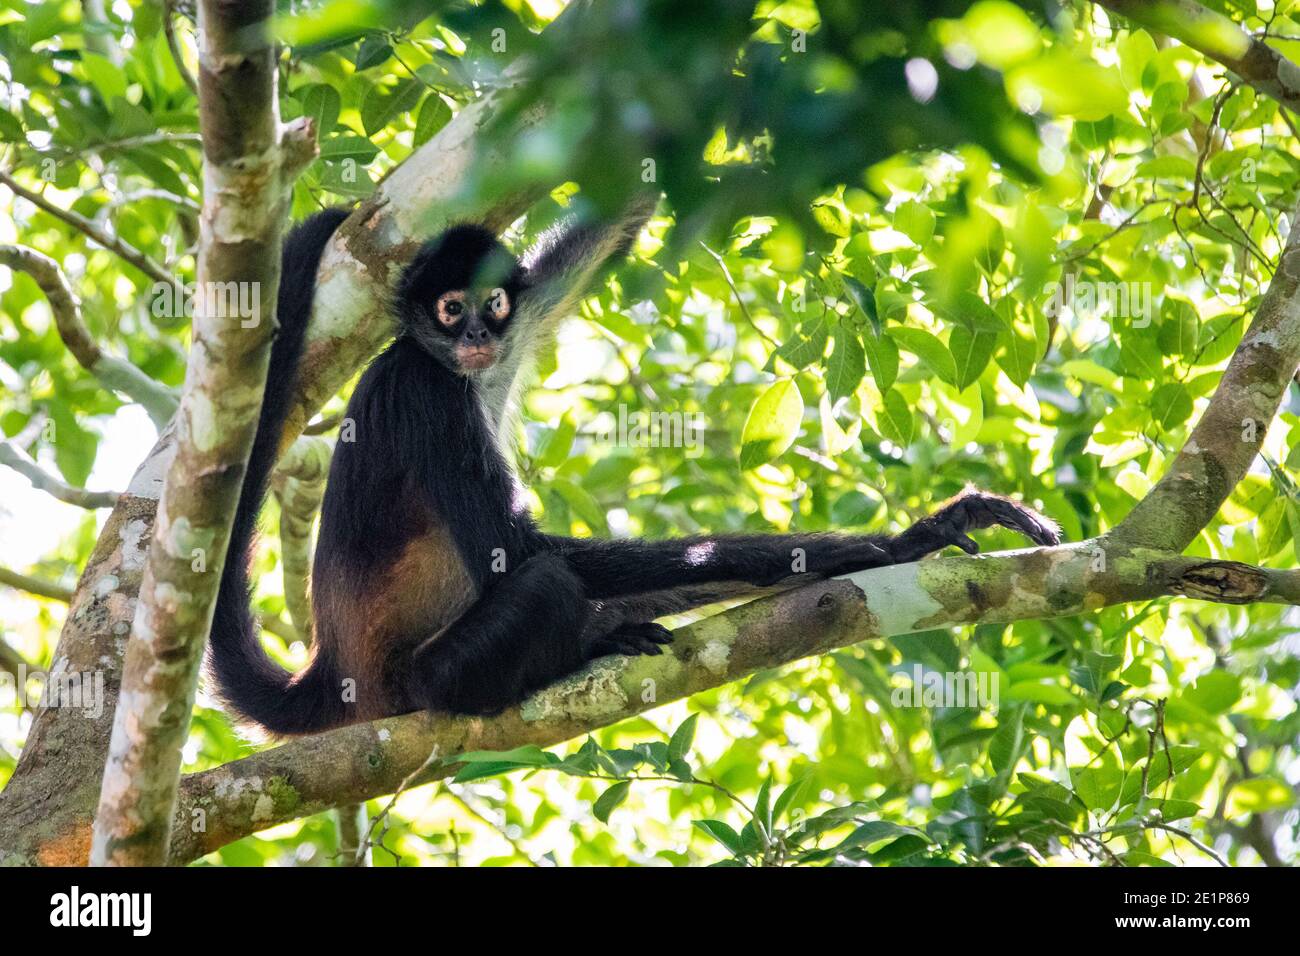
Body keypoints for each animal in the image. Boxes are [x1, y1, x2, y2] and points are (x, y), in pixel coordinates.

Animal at [208, 198, 1060, 736]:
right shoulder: (426, 391)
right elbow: (516, 551)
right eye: (451, 309)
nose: (478, 332)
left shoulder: (522, 320)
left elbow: (607, 229)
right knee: (545, 582)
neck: (461, 369)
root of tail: (336, 665)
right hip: (421, 679)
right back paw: (581, 645)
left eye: (492, 305)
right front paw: (881, 546)